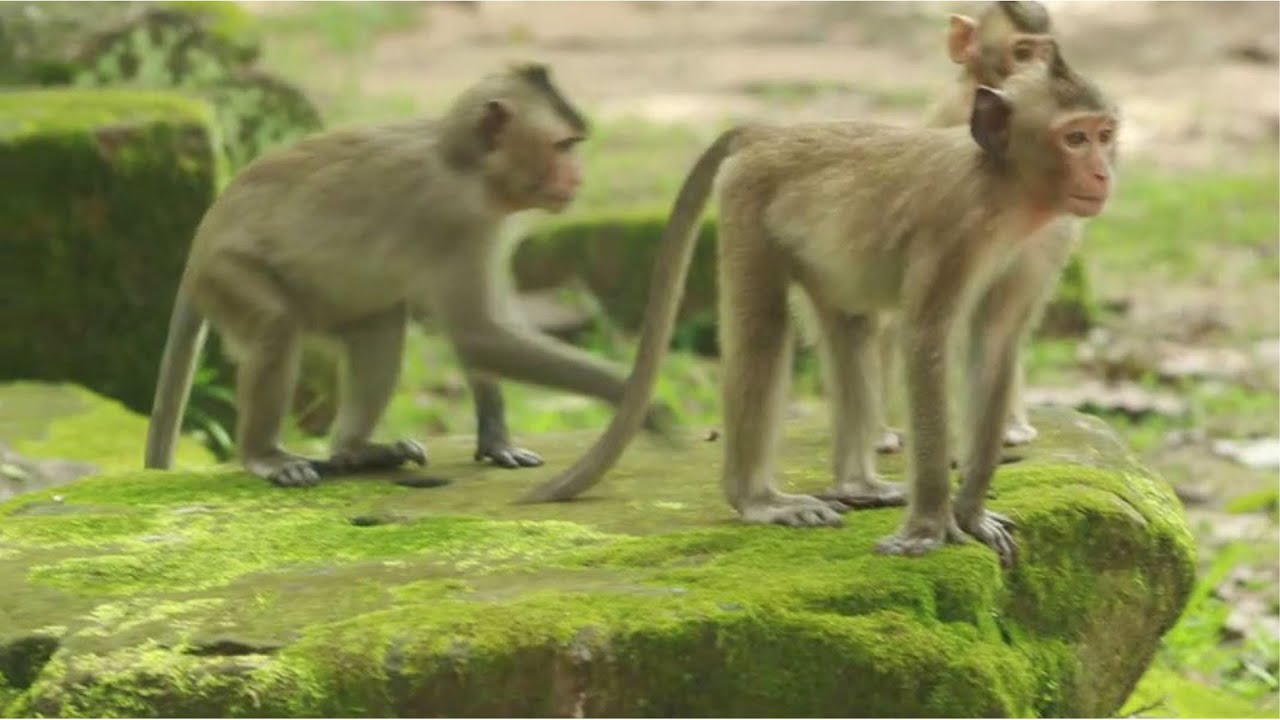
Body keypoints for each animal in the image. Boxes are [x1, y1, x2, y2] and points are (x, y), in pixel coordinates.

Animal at [144, 62, 668, 486]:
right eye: (563, 146)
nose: (577, 176)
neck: (466, 165)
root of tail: (200, 242)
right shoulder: (453, 220)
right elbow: (479, 335)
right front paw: (638, 400)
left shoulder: (487, 224)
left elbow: (480, 331)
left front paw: (496, 440)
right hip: (227, 272)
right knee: (275, 324)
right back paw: (263, 455)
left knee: (381, 323)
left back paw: (355, 451)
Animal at [521, 56, 1119, 567]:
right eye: (1075, 138)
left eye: (1105, 134)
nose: (1103, 174)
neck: (1011, 192)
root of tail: (768, 134)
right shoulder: (955, 226)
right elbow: (926, 340)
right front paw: (929, 525)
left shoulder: (1050, 240)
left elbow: (995, 343)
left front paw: (970, 514)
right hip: (747, 203)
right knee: (763, 330)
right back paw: (757, 499)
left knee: (852, 326)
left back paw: (858, 484)